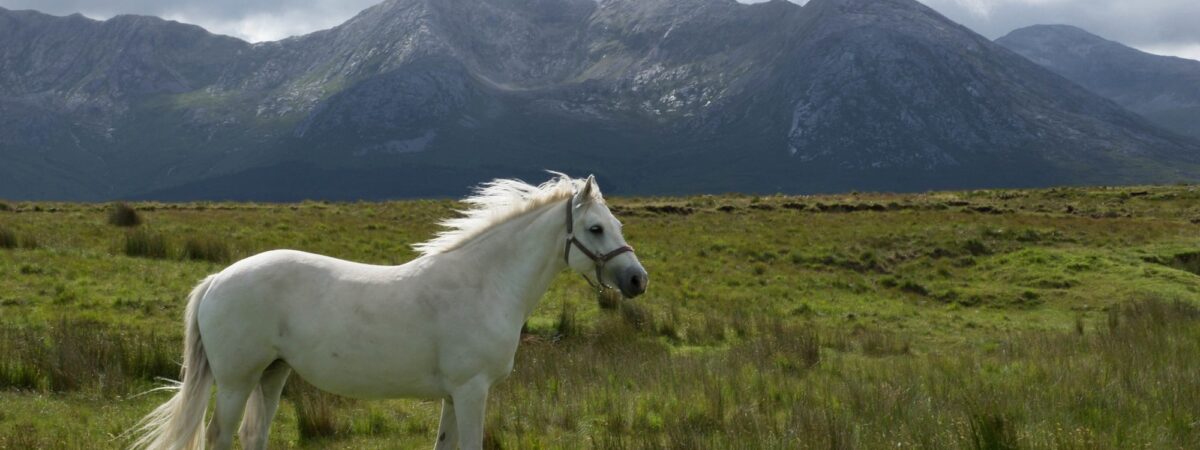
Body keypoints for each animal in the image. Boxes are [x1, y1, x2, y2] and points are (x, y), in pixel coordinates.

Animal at [129, 173, 648, 450]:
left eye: (617, 224)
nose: (637, 280)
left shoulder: (453, 395)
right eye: (596, 228)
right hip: (237, 381)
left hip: (272, 374)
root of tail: (218, 279)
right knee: (220, 437)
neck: (483, 283)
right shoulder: (471, 390)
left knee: (253, 436)